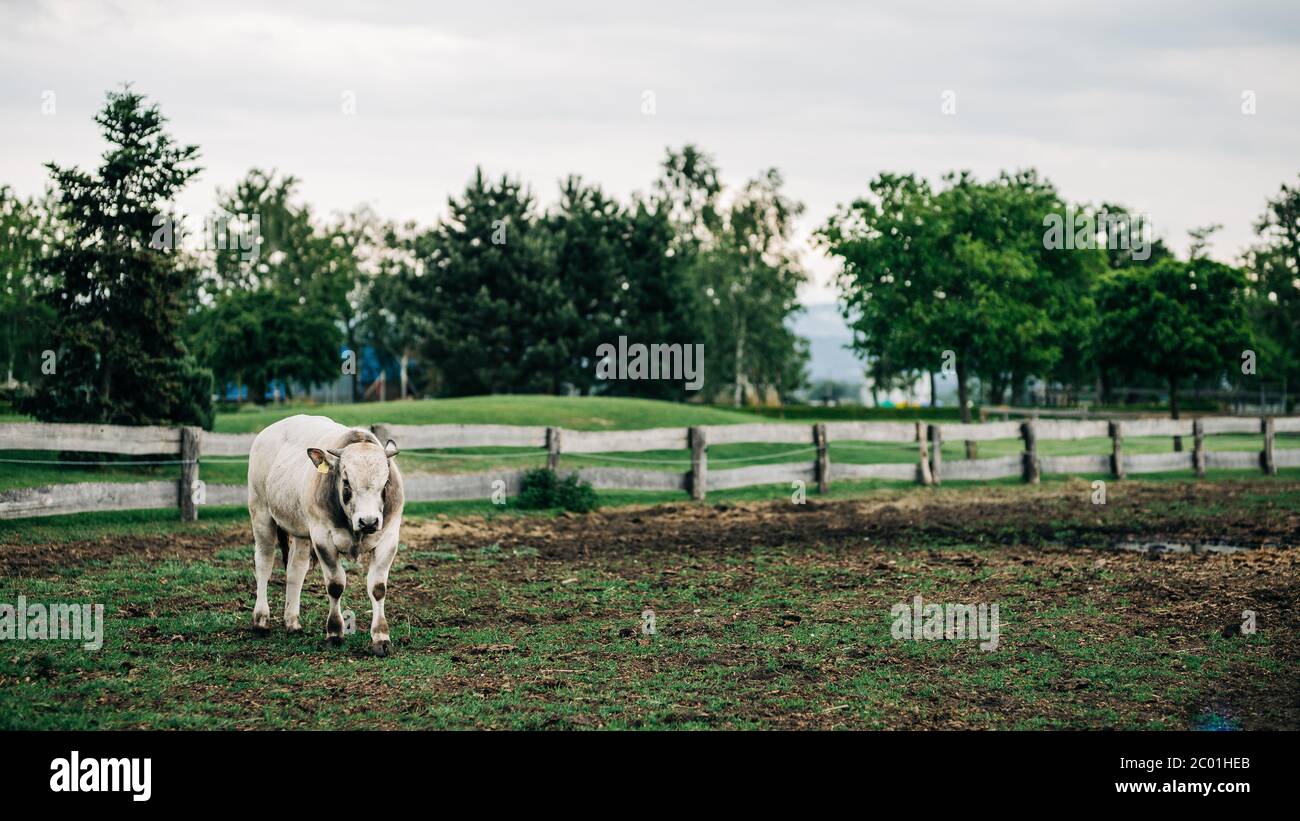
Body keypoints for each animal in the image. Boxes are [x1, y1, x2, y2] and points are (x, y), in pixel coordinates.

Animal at [246, 414, 404, 656]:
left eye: (386, 482)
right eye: (346, 481)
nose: (368, 522)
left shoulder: (389, 538)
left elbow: (378, 589)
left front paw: (381, 638)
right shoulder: (323, 538)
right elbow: (335, 585)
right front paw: (334, 633)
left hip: (301, 531)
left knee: (295, 571)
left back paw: (292, 622)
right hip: (261, 514)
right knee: (264, 564)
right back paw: (261, 620)